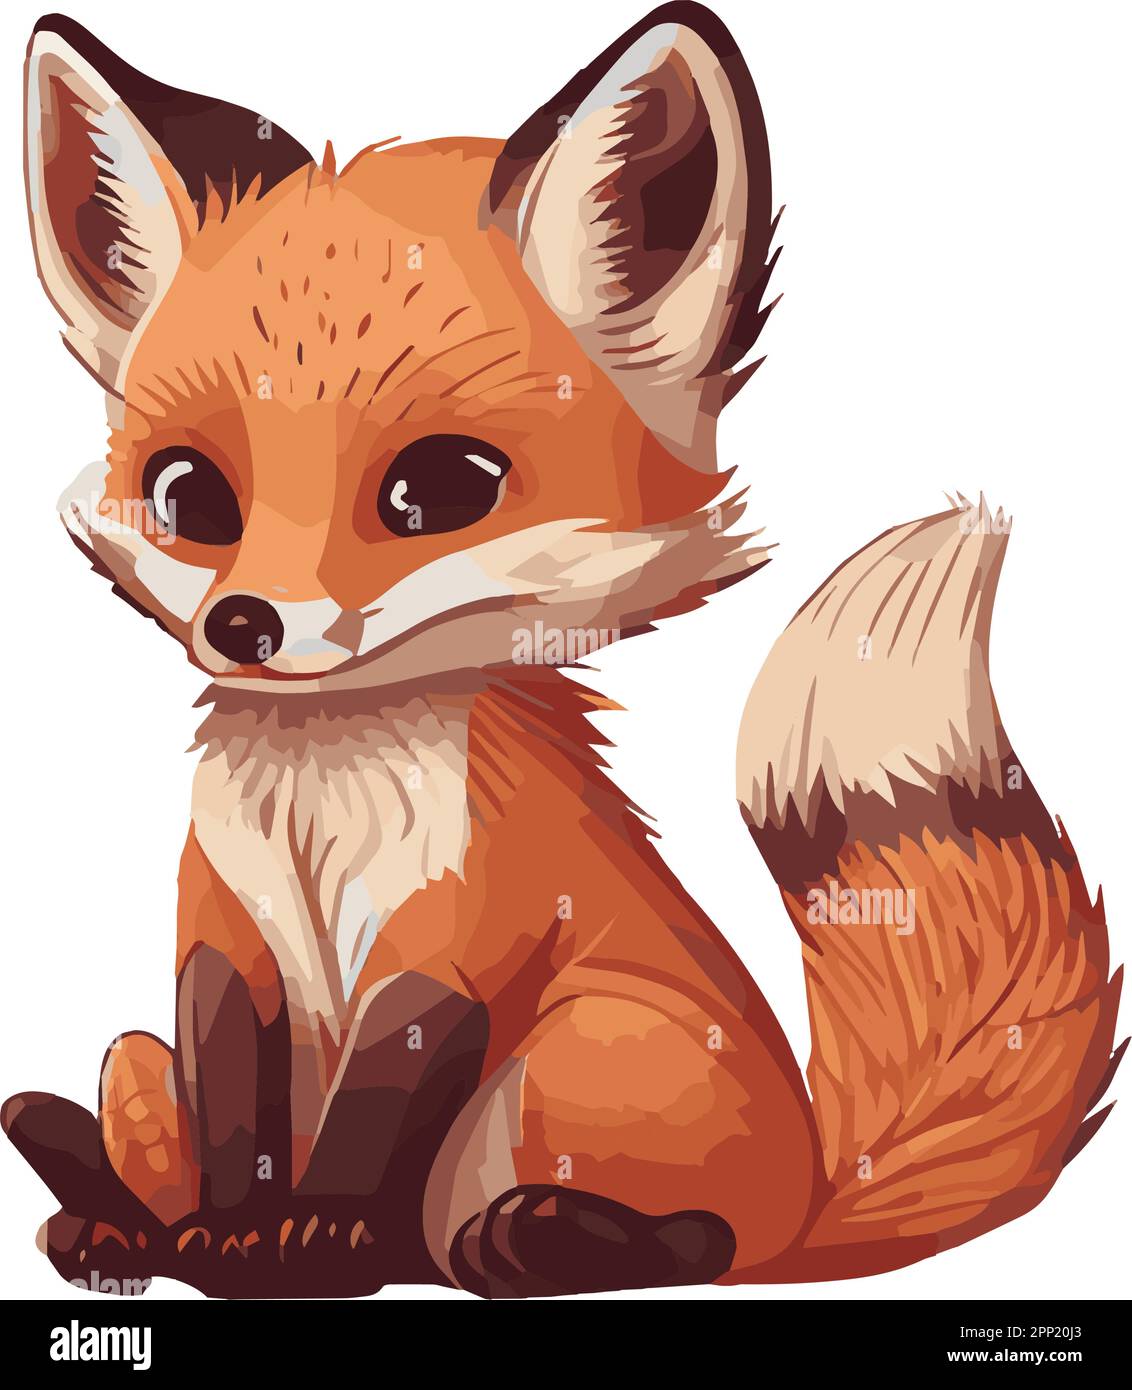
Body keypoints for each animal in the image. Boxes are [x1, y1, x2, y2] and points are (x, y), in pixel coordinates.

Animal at [3, 5, 1122, 1298]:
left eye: (438, 488)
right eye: (189, 495)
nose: (245, 625)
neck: (322, 807)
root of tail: (814, 1193)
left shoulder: (459, 941)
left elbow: (373, 1111)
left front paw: (313, 1239)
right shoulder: (221, 938)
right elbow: (237, 1118)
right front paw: (227, 1239)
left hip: (578, 1048)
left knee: (693, 1243)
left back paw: (535, 1237)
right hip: (134, 1052)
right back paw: (113, 1216)